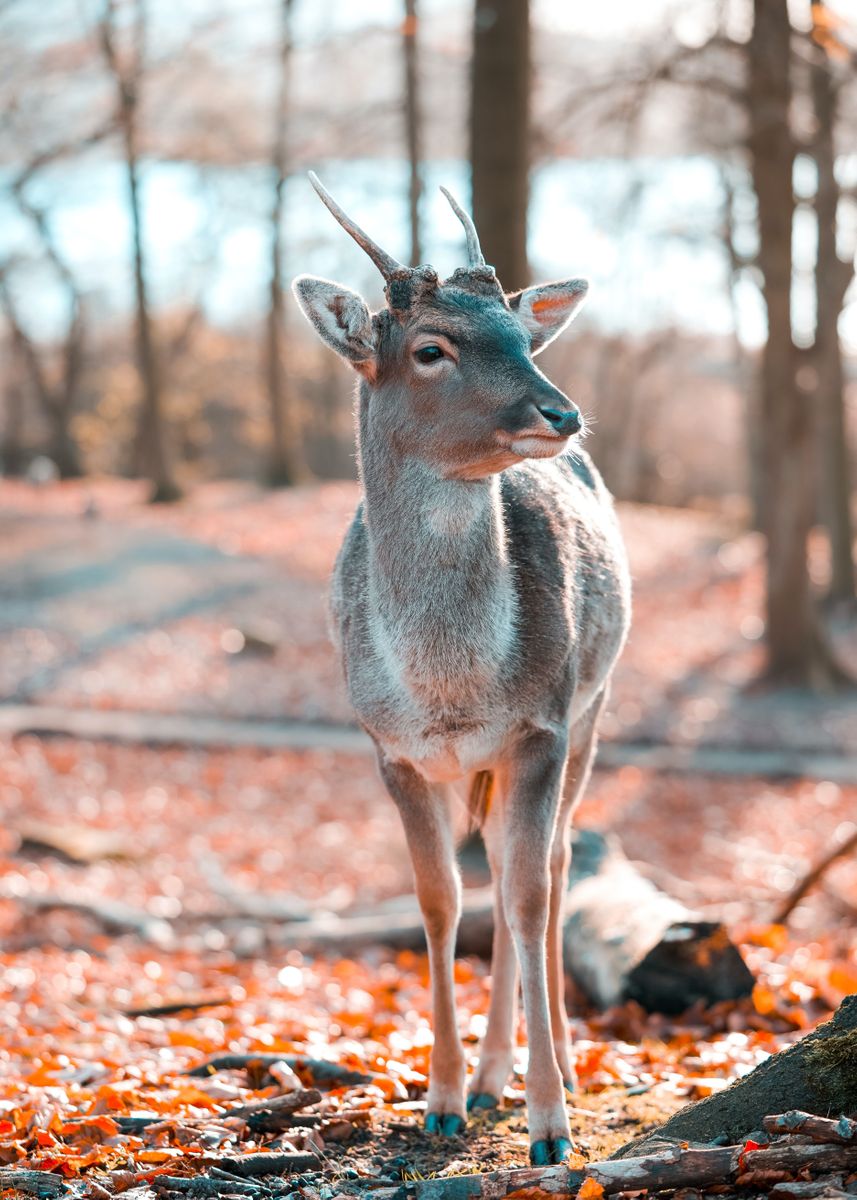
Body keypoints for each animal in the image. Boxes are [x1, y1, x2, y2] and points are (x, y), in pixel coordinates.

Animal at [292, 174, 631, 1166]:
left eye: (521, 332)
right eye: (430, 348)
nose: (561, 413)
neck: (447, 691)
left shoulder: (540, 726)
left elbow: (526, 896)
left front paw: (550, 1125)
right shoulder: (391, 751)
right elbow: (439, 903)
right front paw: (440, 1100)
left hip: (595, 709)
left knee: (550, 867)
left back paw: (538, 1071)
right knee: (501, 872)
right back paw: (484, 1082)